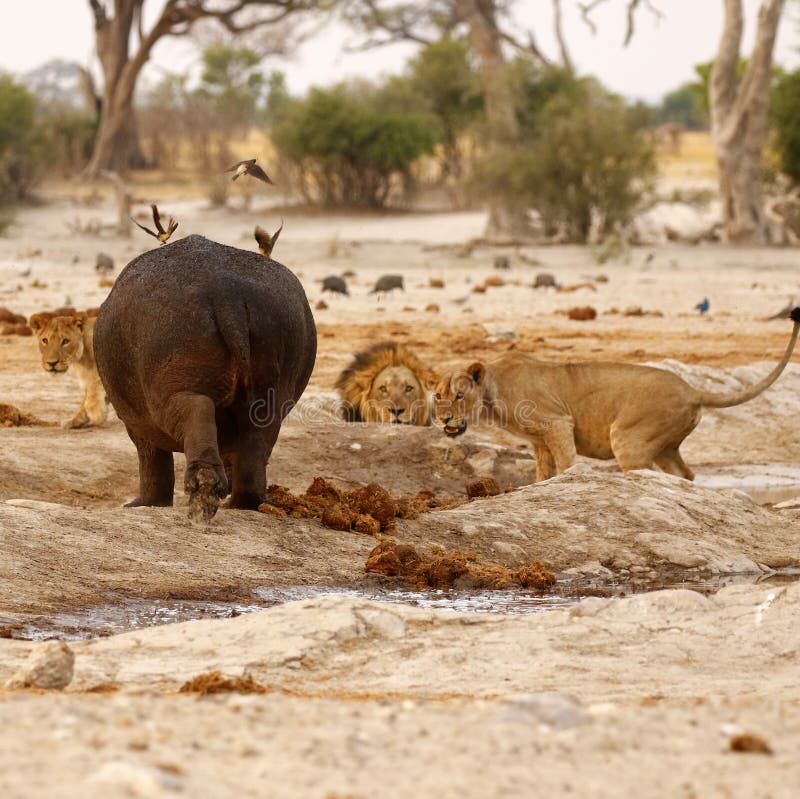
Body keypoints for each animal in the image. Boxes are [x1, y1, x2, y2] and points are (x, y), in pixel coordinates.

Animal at [433, 309, 800, 481]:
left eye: (460, 395)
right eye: (438, 396)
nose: (444, 419)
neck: (493, 388)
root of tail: (691, 388)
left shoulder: (557, 423)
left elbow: (566, 463)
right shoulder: (539, 442)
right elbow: (541, 474)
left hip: (628, 438)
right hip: (665, 446)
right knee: (684, 475)